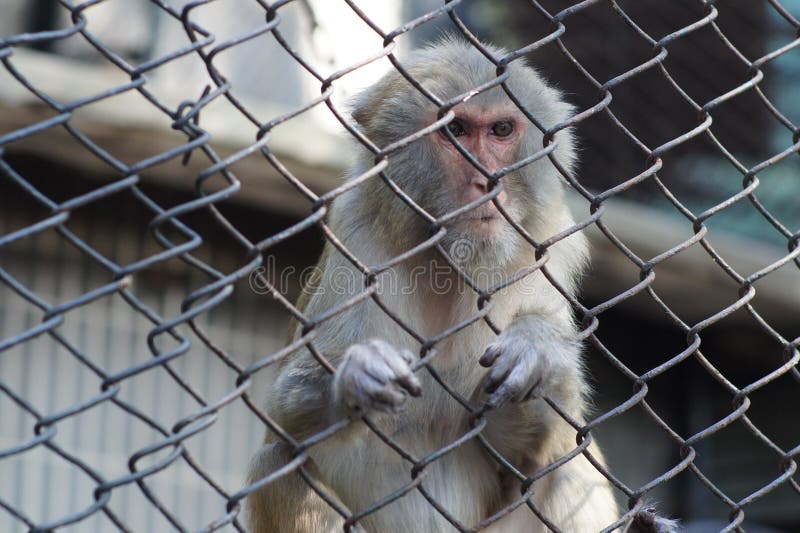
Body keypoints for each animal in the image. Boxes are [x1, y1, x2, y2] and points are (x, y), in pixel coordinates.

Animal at [246, 37, 678, 532]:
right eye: (456, 131)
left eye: (501, 129)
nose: (487, 182)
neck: (449, 261)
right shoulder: (355, 234)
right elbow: (282, 416)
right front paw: (355, 377)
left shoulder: (548, 247)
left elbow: (533, 446)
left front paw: (537, 348)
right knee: (280, 464)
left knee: (564, 466)